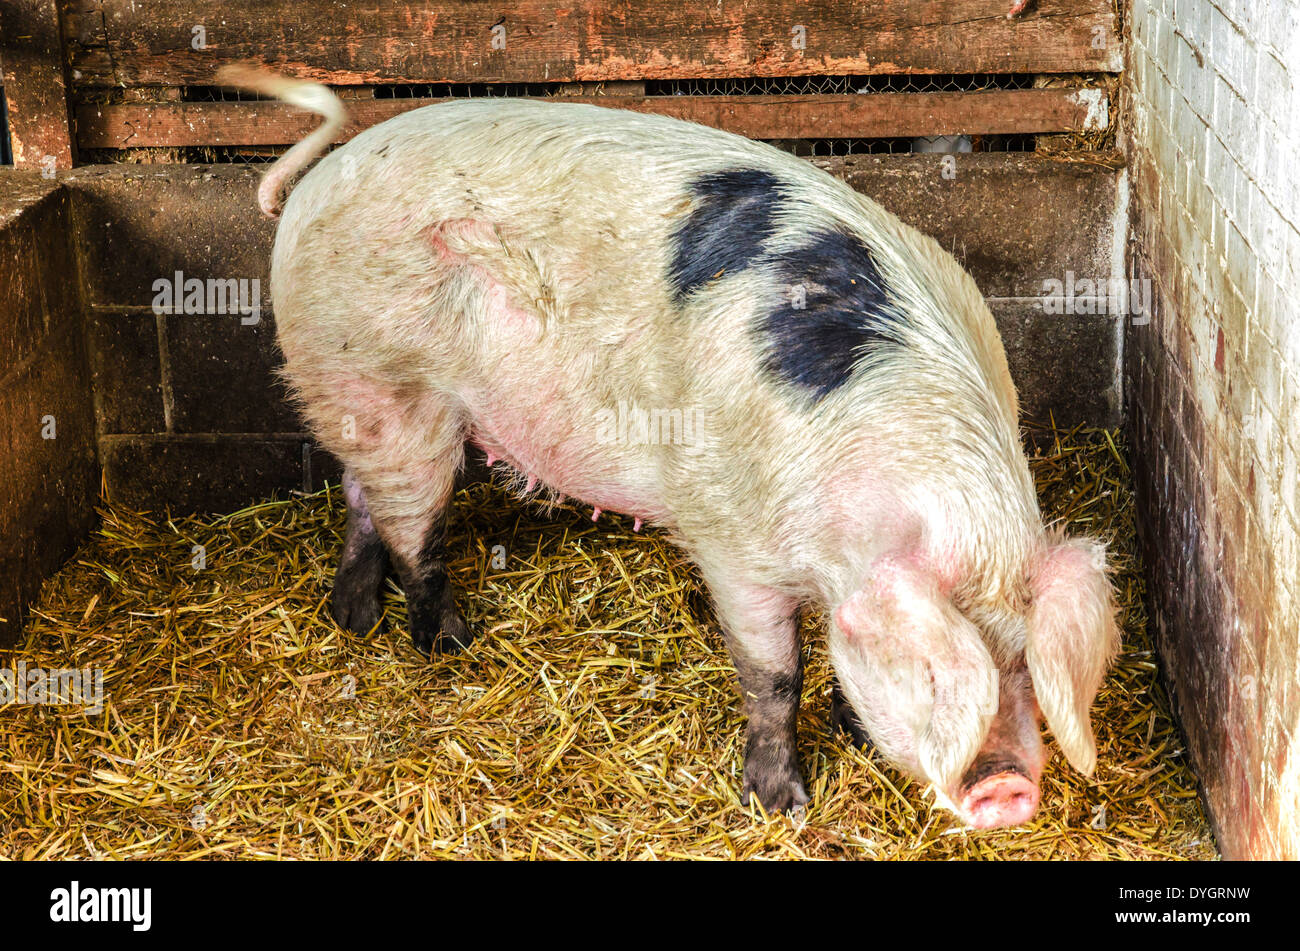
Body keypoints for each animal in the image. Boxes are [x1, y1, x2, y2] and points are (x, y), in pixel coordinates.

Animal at [218, 65, 1120, 829]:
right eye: (937, 675)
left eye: (1026, 670)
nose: (1008, 788)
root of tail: (310, 189)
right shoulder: (733, 541)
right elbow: (774, 674)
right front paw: (780, 805)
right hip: (388, 381)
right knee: (412, 527)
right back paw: (449, 640)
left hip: (363, 398)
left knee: (360, 489)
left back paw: (354, 616)